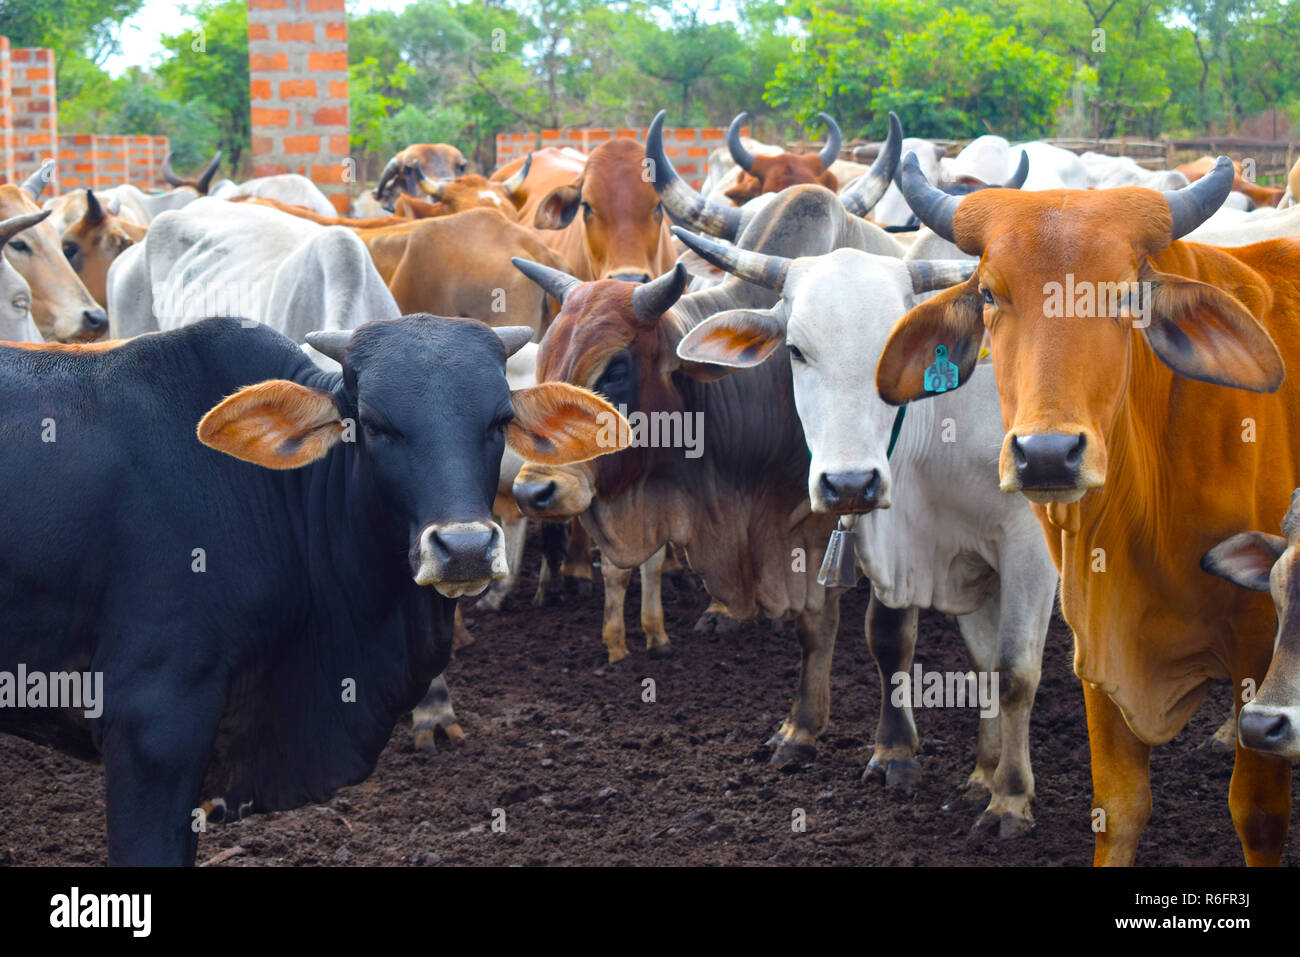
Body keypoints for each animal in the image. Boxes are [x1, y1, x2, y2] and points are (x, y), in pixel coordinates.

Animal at [673, 229, 1058, 836]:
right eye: (795, 351)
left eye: (898, 348)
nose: (849, 482)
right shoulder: (949, 555)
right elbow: (959, 659)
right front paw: (976, 775)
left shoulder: (1027, 547)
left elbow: (1014, 671)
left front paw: (1011, 798)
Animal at [880, 153, 1300, 866]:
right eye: (987, 294)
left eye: (1126, 296)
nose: (1047, 455)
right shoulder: (1097, 644)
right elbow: (1120, 809)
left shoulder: (1262, 647)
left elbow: (1259, 815)